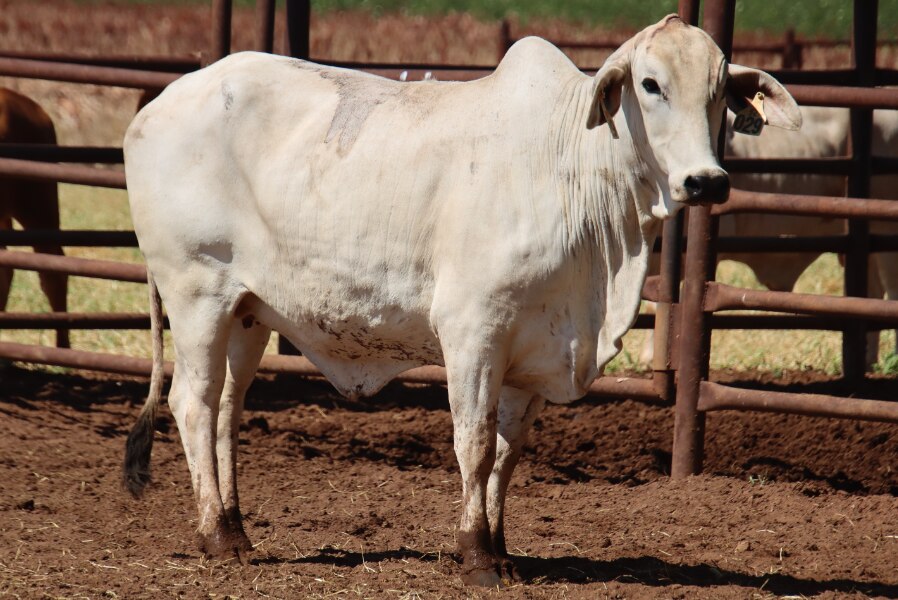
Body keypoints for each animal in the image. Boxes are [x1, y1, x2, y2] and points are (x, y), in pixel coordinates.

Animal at [121, 15, 800, 585]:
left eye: (720, 91)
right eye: (651, 84)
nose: (706, 181)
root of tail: (154, 107)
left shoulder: (533, 356)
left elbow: (505, 455)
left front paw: (501, 548)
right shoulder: (475, 333)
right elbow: (472, 444)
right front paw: (475, 557)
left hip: (248, 312)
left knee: (227, 410)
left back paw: (237, 528)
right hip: (197, 294)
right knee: (192, 405)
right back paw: (216, 536)